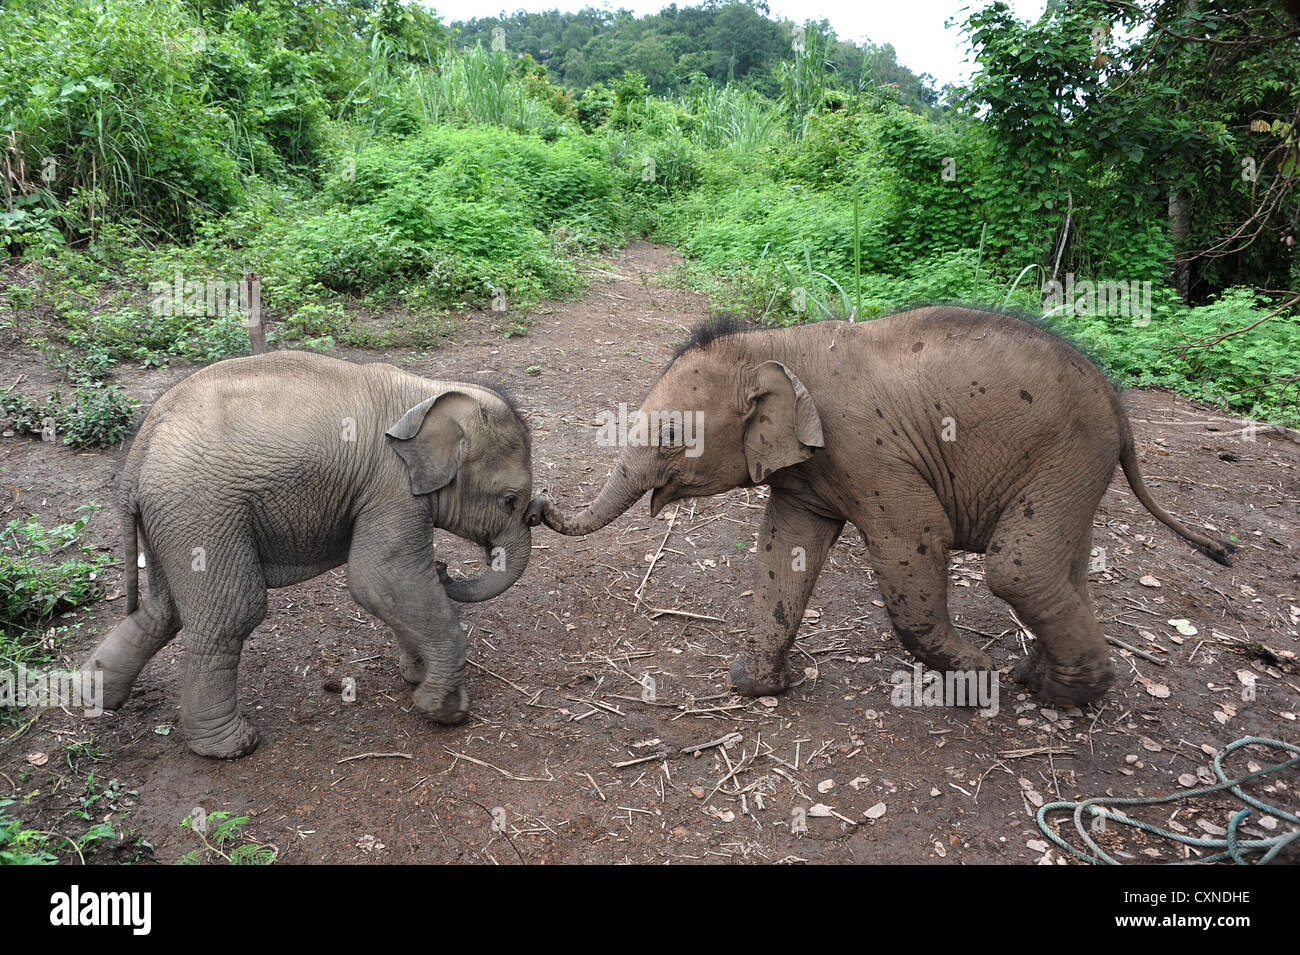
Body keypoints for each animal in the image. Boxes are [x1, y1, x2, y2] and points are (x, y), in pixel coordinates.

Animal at [80, 351, 536, 758]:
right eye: (509, 501)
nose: (444, 570)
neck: (430, 390)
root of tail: (137, 454)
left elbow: (394, 589)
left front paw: (416, 678)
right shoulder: (391, 487)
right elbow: (380, 578)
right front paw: (443, 711)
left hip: (168, 519)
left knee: (162, 610)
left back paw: (91, 696)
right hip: (199, 509)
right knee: (230, 615)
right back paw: (231, 747)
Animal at [528, 306, 1233, 707]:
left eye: (674, 437)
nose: (534, 503)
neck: (775, 344)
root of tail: (1118, 403)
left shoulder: (868, 452)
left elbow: (915, 537)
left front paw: (978, 679)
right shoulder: (809, 470)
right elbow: (784, 547)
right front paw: (763, 688)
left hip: (1070, 453)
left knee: (1018, 566)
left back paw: (1057, 695)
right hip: (1073, 470)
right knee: (1061, 565)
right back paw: (1046, 681)